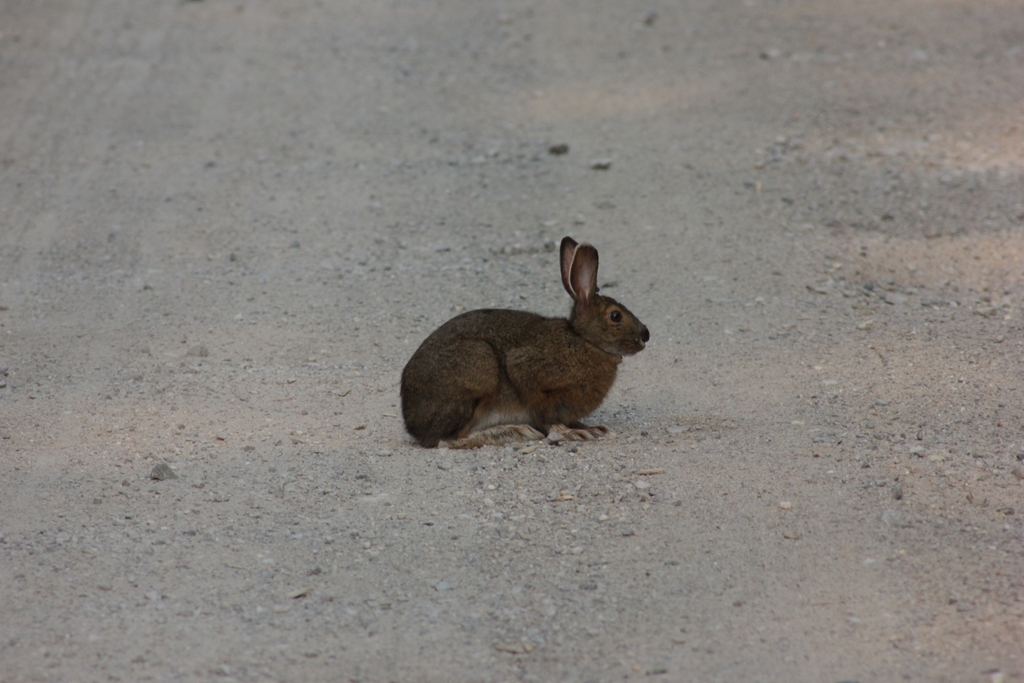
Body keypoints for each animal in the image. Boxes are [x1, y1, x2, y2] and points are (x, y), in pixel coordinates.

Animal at [400, 236, 649, 449]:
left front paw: (592, 428)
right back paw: (513, 431)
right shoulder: (528, 370)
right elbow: (544, 413)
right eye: (615, 316)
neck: (584, 340)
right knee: (449, 439)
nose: (646, 335)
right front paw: (574, 432)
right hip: (479, 366)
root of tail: (413, 423)